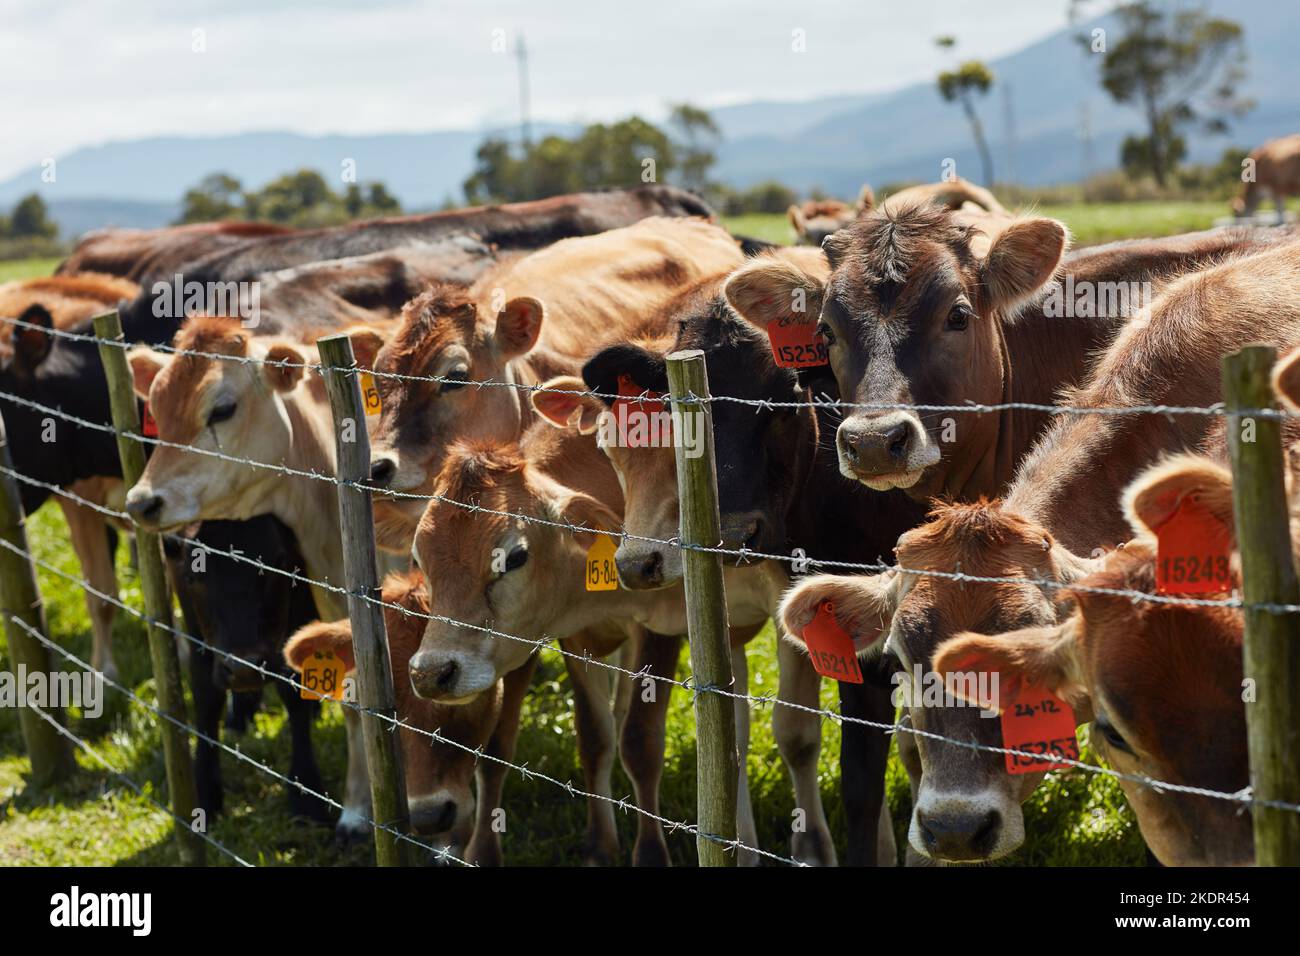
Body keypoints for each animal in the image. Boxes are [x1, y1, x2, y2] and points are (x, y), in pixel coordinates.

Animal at [162, 515, 330, 824]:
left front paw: (305, 790)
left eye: (278, 563)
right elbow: (206, 696)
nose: (243, 669)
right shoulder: (196, 628)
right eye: (193, 577)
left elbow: (292, 689)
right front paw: (204, 792)